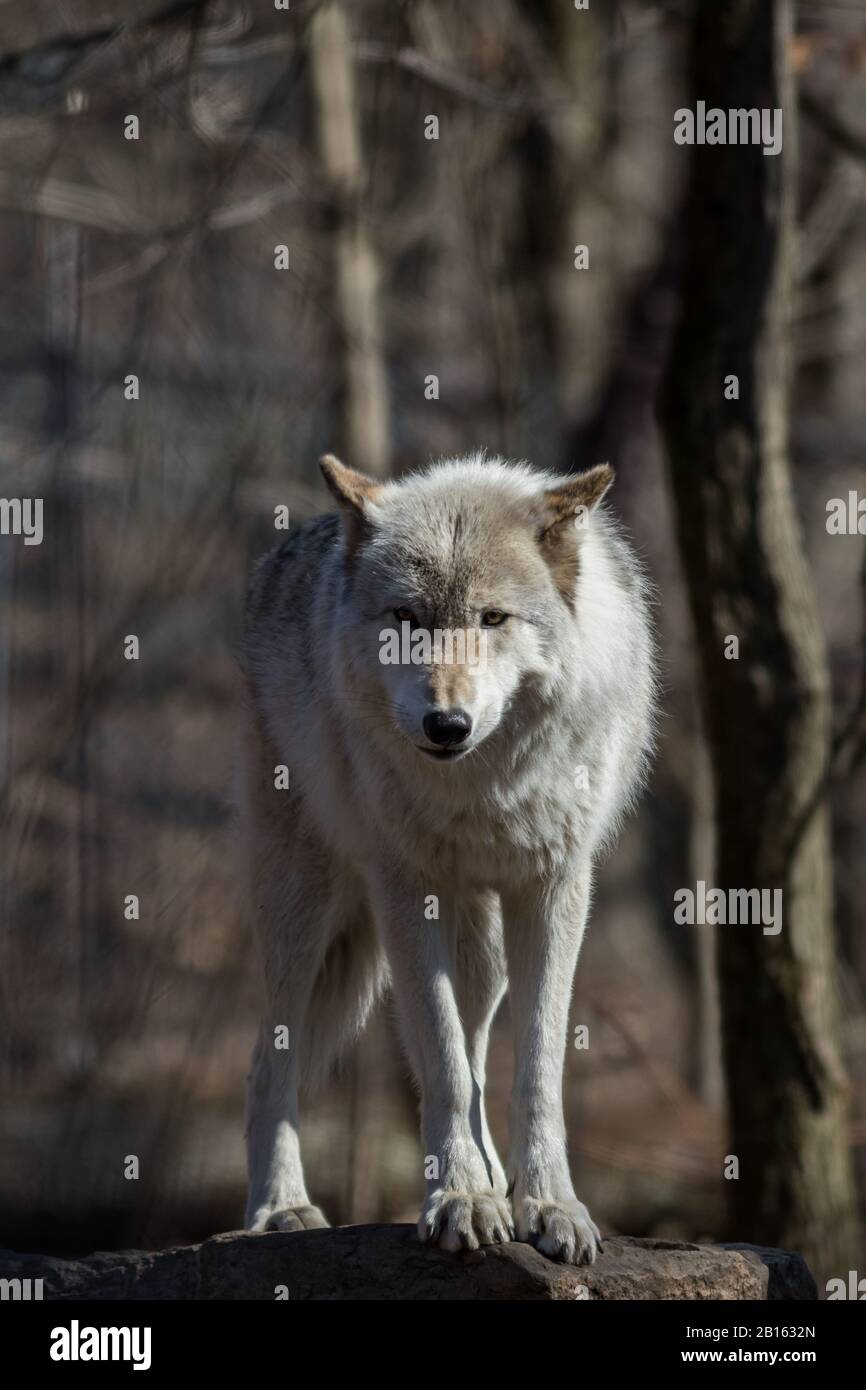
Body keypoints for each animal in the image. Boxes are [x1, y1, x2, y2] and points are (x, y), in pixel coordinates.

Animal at [241, 453, 656, 1263]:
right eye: (405, 618)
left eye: (493, 618)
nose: (446, 723)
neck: (481, 784)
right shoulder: (405, 888)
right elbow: (440, 1058)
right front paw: (460, 1199)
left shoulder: (555, 888)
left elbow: (533, 1071)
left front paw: (548, 1206)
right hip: (304, 908)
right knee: (269, 1065)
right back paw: (281, 1209)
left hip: (480, 944)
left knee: (480, 1038)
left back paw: (496, 1179)